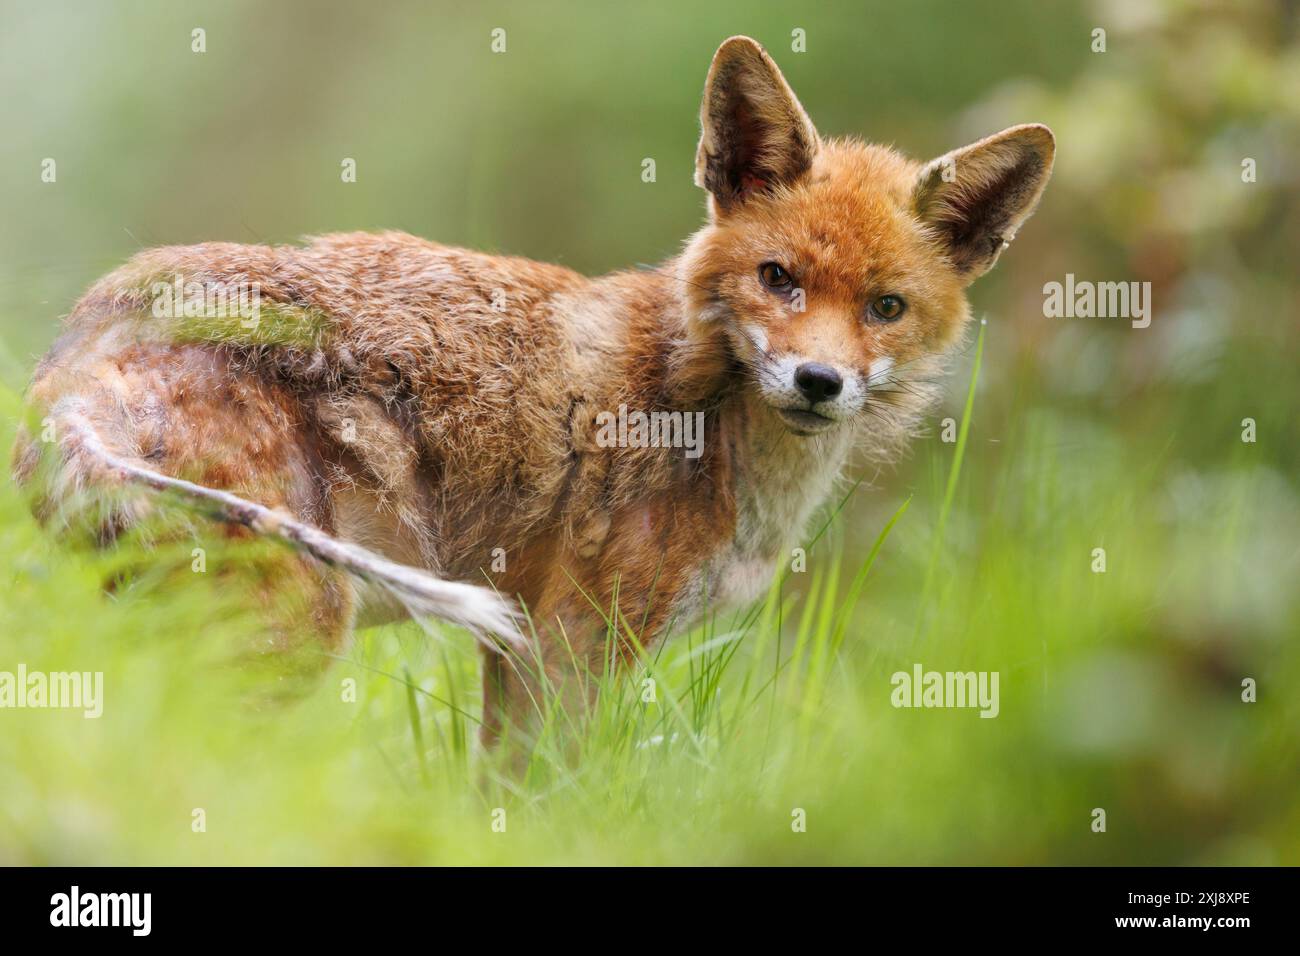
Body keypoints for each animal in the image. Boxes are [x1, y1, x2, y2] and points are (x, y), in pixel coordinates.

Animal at [12, 36, 1053, 749]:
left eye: (886, 307)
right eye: (779, 279)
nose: (819, 381)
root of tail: (72, 353)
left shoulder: (515, 649)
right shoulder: (574, 642)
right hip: (289, 632)